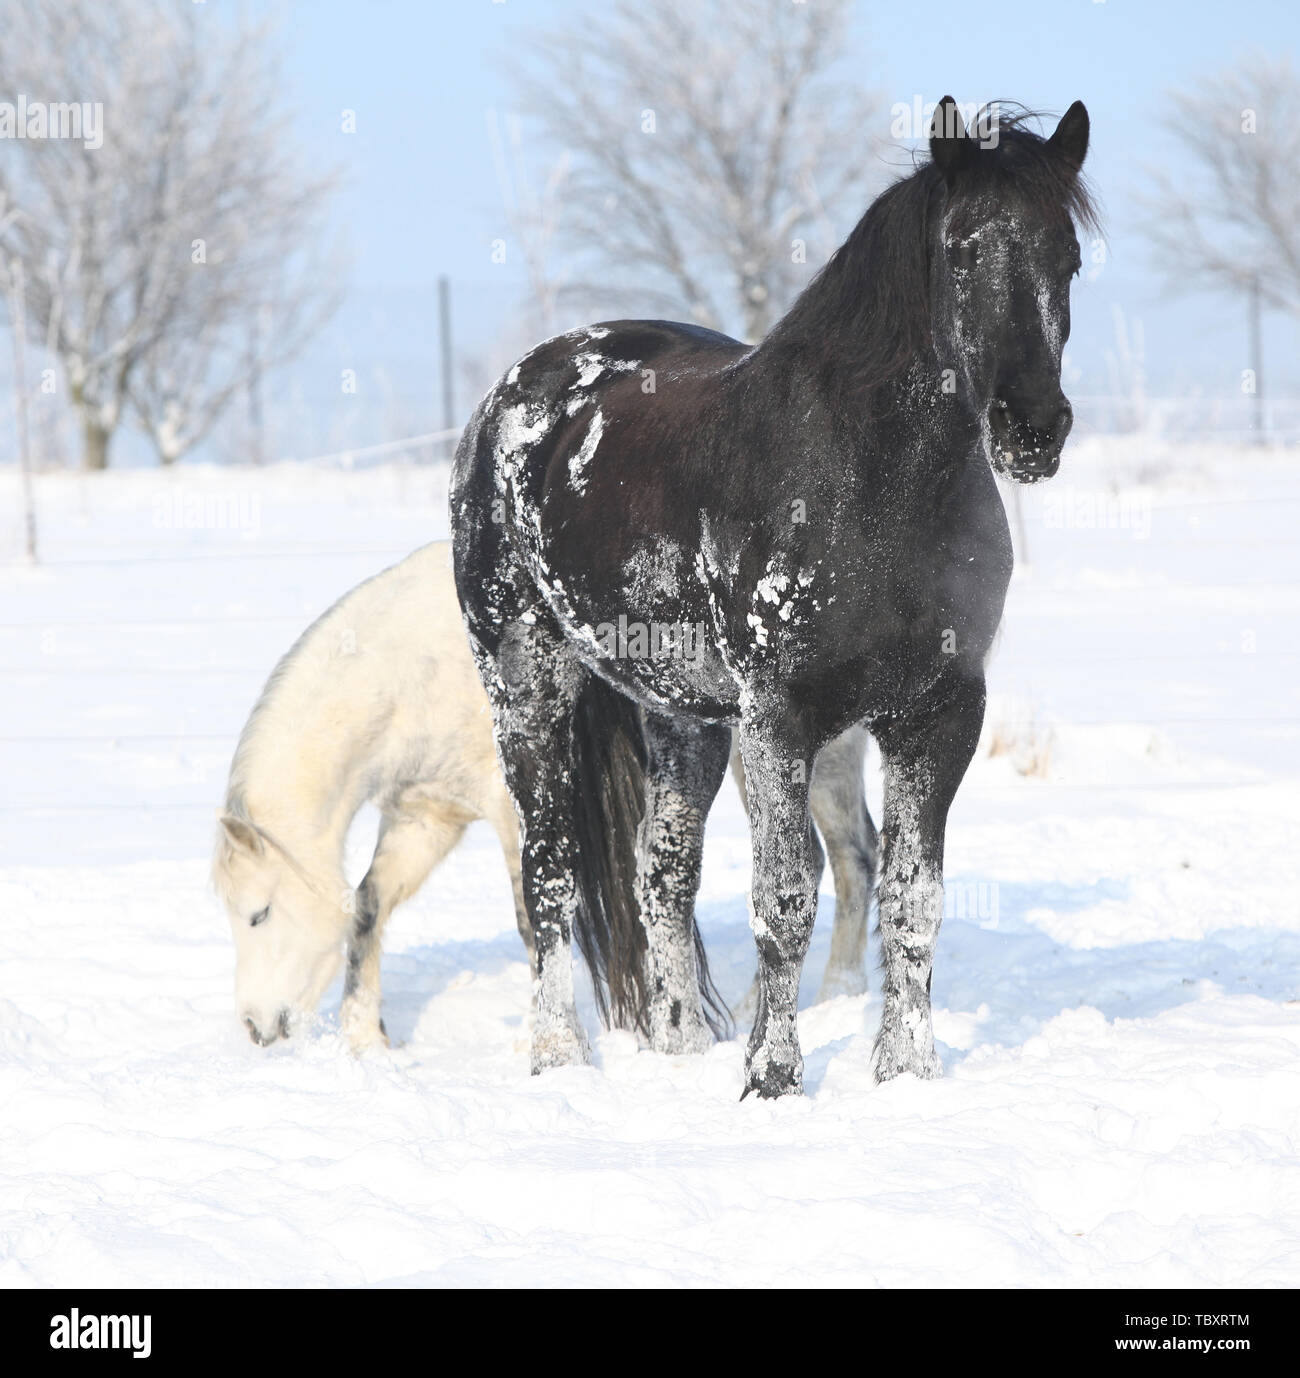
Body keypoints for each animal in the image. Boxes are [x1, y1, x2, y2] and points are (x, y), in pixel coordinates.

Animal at [213, 542, 877, 1050]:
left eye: (259, 913)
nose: (252, 1025)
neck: (414, 673)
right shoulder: (426, 817)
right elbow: (368, 906)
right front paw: (365, 1040)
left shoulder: (515, 812)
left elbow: (532, 922)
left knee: (848, 859)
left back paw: (837, 994)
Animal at [451, 99, 1094, 1097]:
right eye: (960, 250)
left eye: (1068, 256)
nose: (1031, 427)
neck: (868, 486)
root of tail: (514, 398)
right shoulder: (781, 720)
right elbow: (784, 900)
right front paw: (772, 1077)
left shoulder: (940, 715)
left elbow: (912, 899)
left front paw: (906, 1074)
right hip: (527, 686)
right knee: (549, 869)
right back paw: (556, 1056)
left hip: (682, 717)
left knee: (662, 874)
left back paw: (679, 1047)